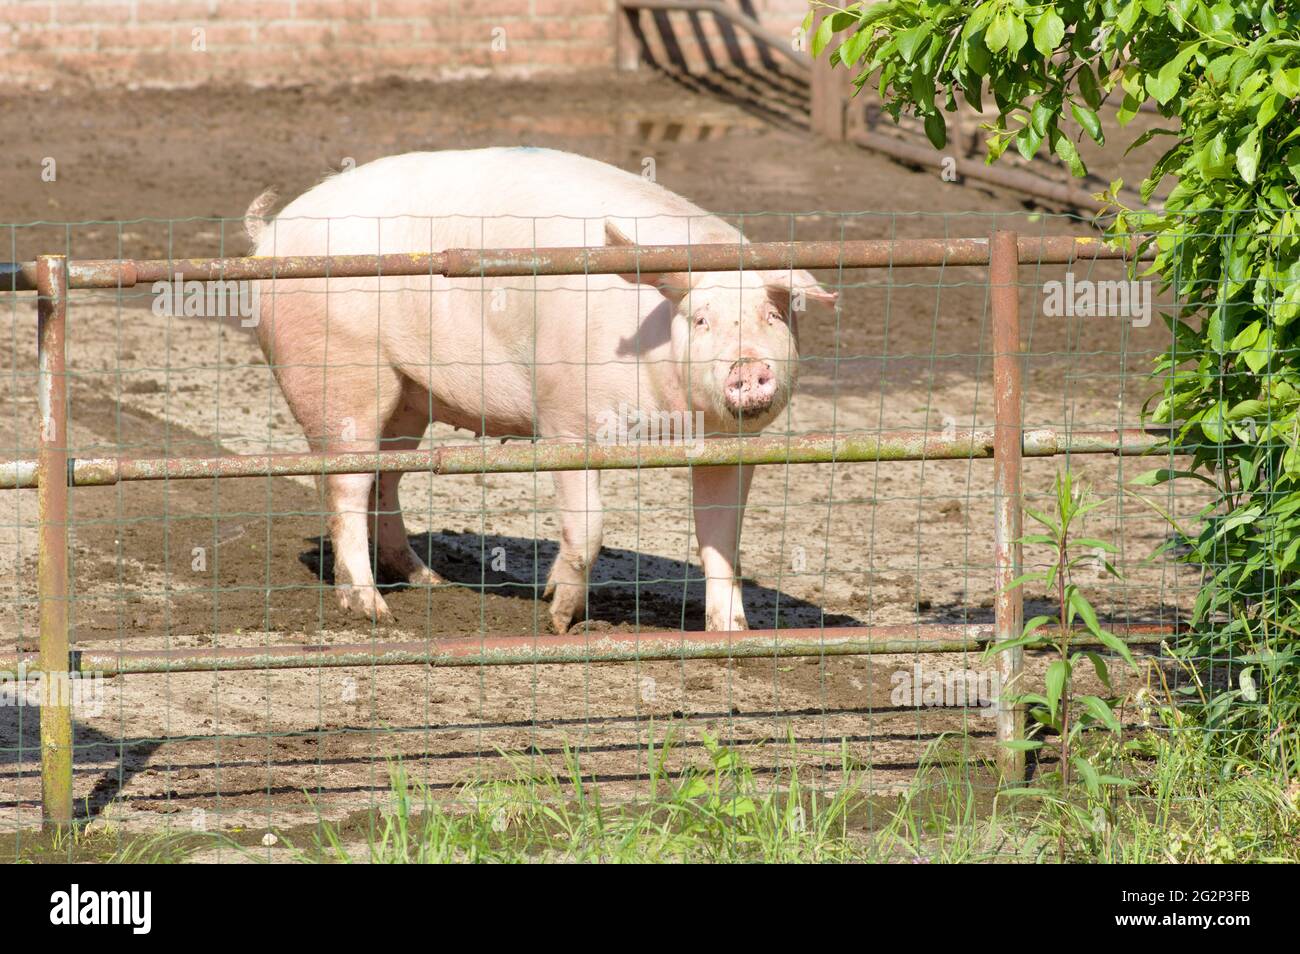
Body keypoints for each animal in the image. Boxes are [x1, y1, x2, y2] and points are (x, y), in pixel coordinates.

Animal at [243, 148, 836, 632]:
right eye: (700, 319)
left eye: (771, 317)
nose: (748, 365)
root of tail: (271, 233)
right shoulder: (565, 419)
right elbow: (588, 527)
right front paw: (557, 619)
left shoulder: (731, 446)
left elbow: (721, 538)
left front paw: (731, 634)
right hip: (341, 378)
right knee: (347, 484)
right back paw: (372, 611)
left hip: (410, 394)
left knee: (386, 479)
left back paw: (425, 580)